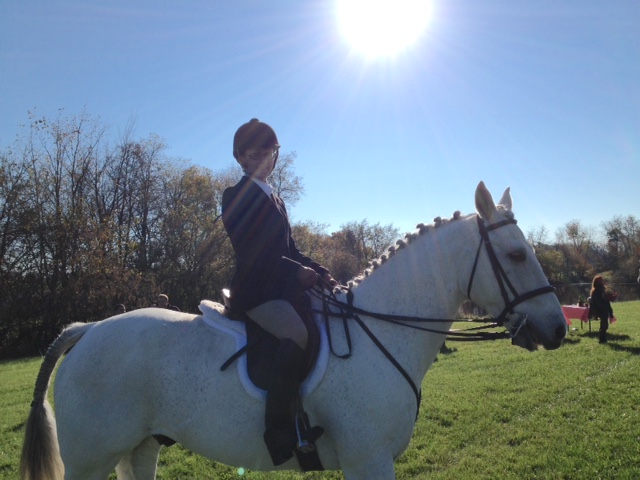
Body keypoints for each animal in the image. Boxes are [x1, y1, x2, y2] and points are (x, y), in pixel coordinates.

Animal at [20, 181, 567, 480]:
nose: (558, 328)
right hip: (90, 460)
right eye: (517, 255)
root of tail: (88, 329)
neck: (383, 330)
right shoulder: (369, 460)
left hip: (140, 449)